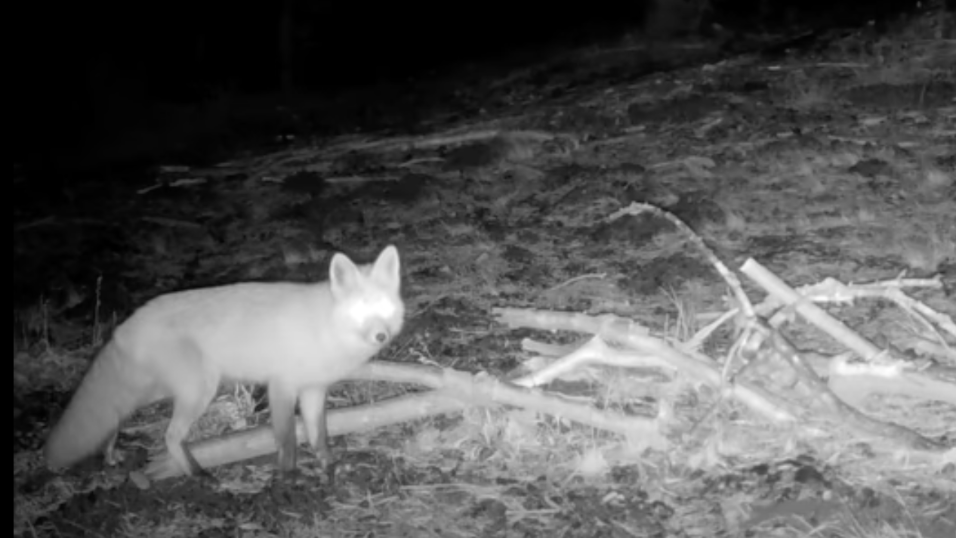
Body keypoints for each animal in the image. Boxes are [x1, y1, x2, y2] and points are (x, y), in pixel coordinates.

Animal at [43, 244, 404, 479]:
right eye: (360, 310)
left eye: (384, 309)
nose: (380, 336)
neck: (324, 327)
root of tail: (126, 324)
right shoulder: (282, 386)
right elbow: (287, 441)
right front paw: (287, 480)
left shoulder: (314, 389)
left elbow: (319, 436)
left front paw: (329, 466)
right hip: (198, 391)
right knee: (169, 436)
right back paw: (197, 476)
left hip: (166, 391)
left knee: (116, 414)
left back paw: (110, 452)